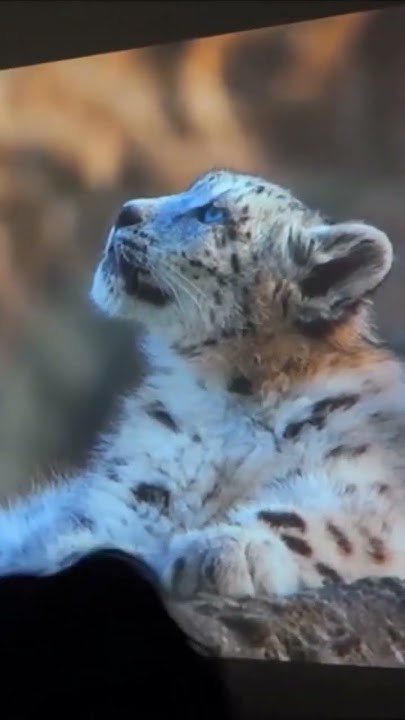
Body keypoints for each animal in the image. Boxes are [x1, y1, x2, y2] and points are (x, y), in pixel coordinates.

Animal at [1, 167, 405, 602]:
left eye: (213, 213)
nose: (126, 212)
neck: (236, 394)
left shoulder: (362, 475)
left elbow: (331, 523)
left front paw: (229, 549)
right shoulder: (139, 490)